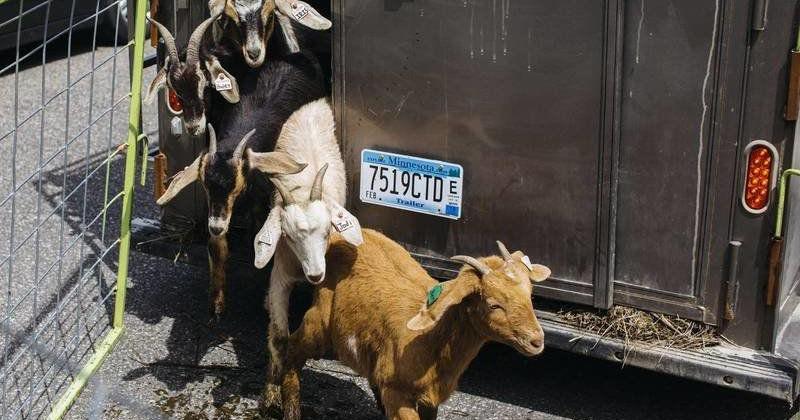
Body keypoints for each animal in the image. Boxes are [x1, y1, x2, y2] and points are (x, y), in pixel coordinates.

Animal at [151, 25, 327, 317]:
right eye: (175, 92)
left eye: (204, 83)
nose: (194, 127)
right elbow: (217, 246)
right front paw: (217, 302)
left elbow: (260, 231)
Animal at [245, 98, 363, 405]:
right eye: (288, 237)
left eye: (328, 231)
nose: (315, 274)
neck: (304, 188)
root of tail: (316, 103)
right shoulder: (280, 276)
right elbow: (278, 336)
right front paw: (272, 393)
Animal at [273, 231, 550, 419]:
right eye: (493, 304)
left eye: (529, 295)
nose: (537, 341)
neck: (433, 338)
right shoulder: (398, 393)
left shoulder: (430, 398)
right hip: (319, 322)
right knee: (292, 349)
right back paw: (289, 410)